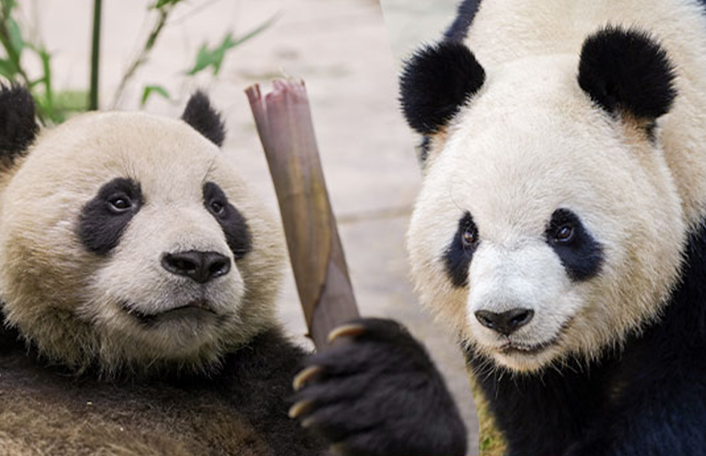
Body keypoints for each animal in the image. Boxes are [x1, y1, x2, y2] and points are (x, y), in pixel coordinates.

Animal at [292, 1, 706, 455]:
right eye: (468, 234)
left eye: (564, 230)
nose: (503, 318)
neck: (559, 37)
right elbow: (531, 407)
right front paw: (383, 397)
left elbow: (681, 395)